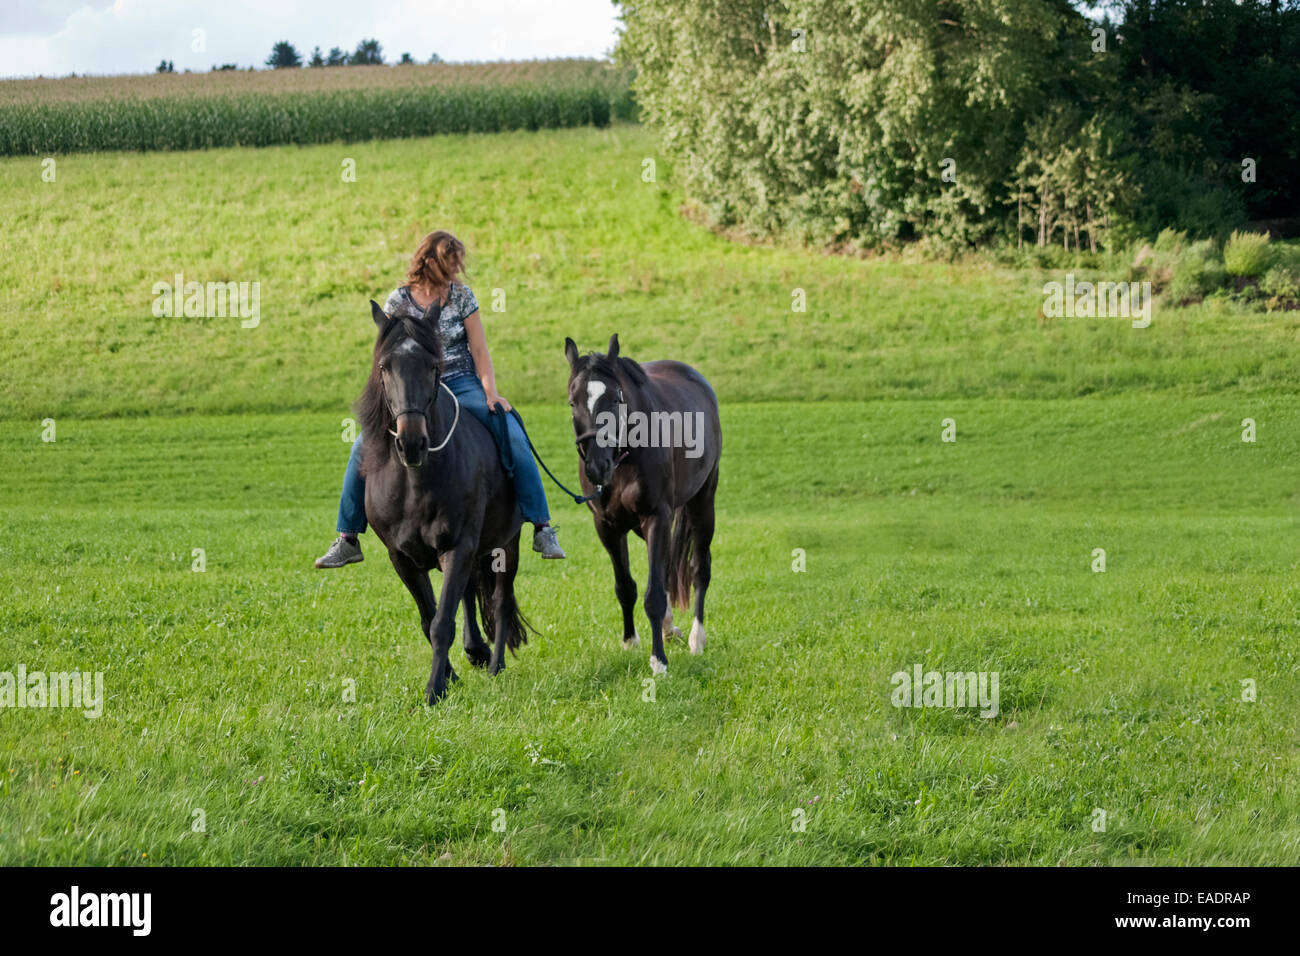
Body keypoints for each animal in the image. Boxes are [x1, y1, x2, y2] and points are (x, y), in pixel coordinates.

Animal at [358, 300, 529, 704]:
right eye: (384, 367)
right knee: (469, 593)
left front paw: (434, 690)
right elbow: (428, 618)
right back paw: (476, 650)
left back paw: (494, 663)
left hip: (506, 545)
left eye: (433, 366)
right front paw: (449, 677)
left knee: (500, 601)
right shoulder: (402, 558)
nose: (412, 443)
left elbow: (441, 623)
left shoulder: (459, 545)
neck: (415, 483)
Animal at [563, 334, 721, 675]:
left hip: (703, 504)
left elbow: (653, 596)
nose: (597, 467)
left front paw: (658, 661)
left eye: (615, 399)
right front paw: (630, 642)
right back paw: (669, 627)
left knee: (699, 569)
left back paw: (696, 639)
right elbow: (626, 587)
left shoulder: (656, 517)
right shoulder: (607, 527)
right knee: (665, 567)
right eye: (573, 402)